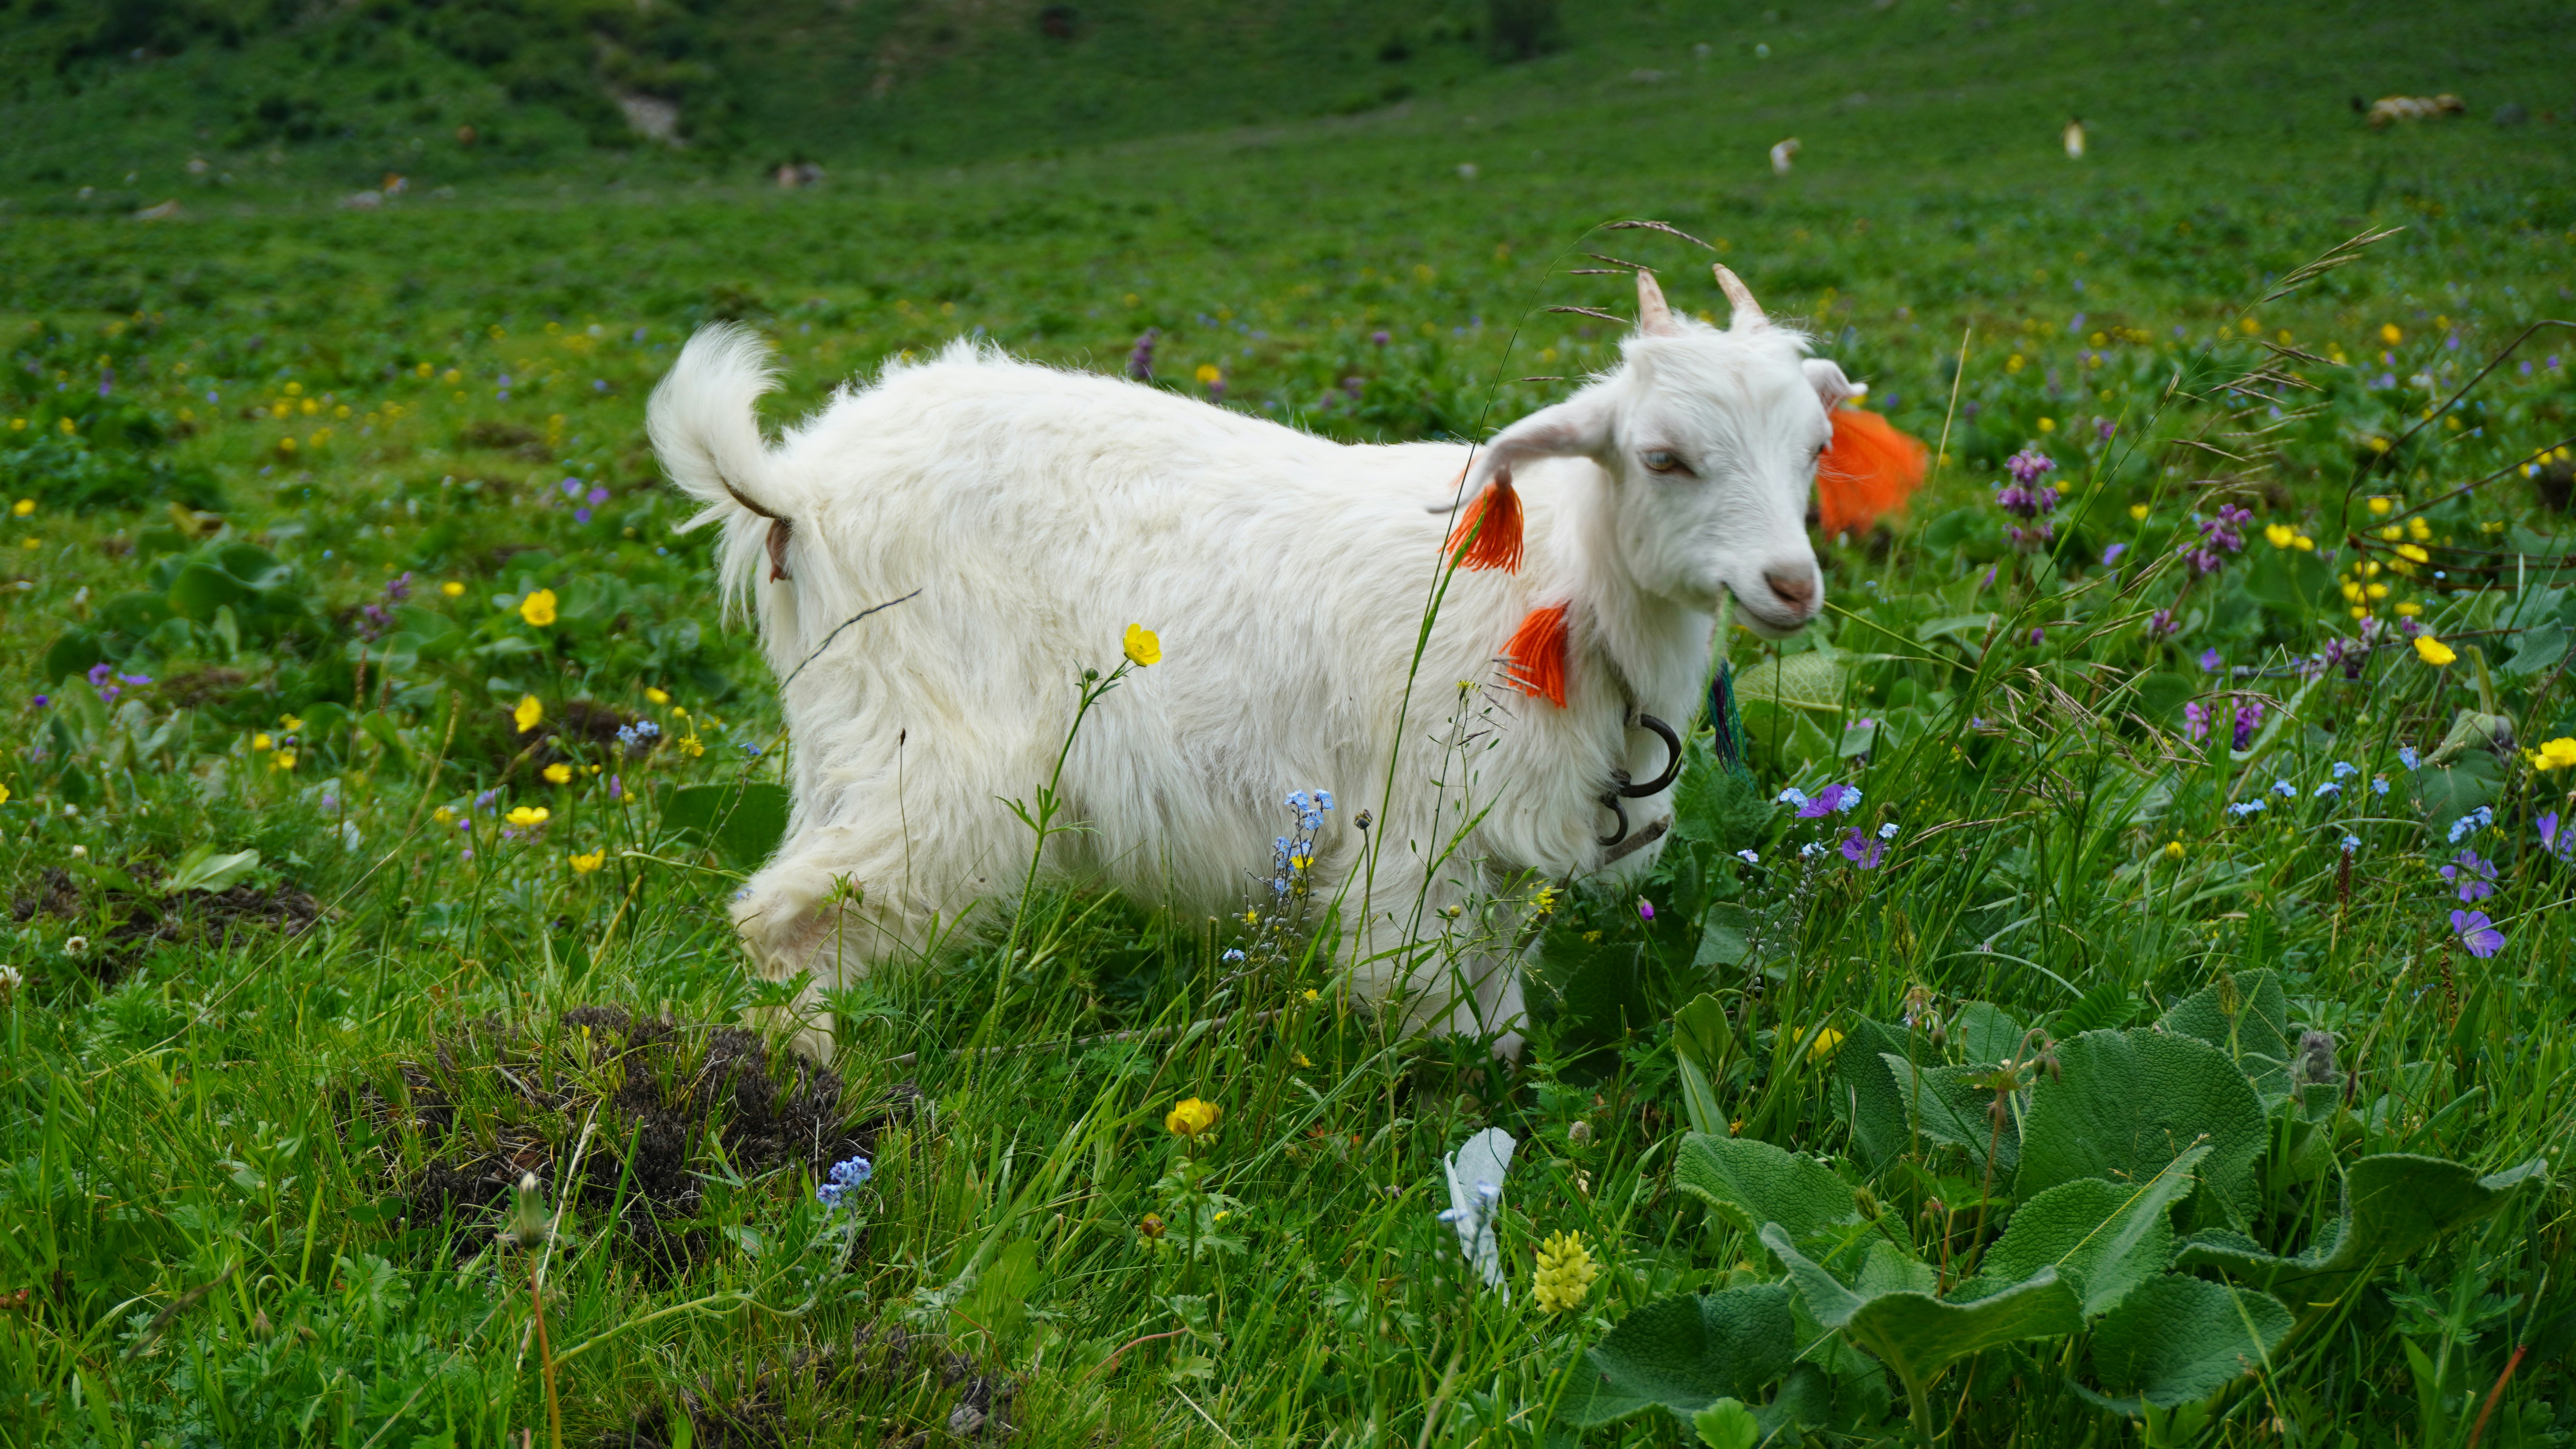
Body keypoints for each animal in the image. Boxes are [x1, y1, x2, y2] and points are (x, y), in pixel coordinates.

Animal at [649, 266, 1894, 1061]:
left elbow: (1497, 995)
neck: (1560, 582)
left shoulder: (1503, 848)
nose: (1792, 585)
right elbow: (1426, 999)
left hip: (850, 732)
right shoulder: (1419, 834)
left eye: (1816, 448)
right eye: (1664, 456)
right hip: (936, 750)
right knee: (788, 924)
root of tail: (794, 490)